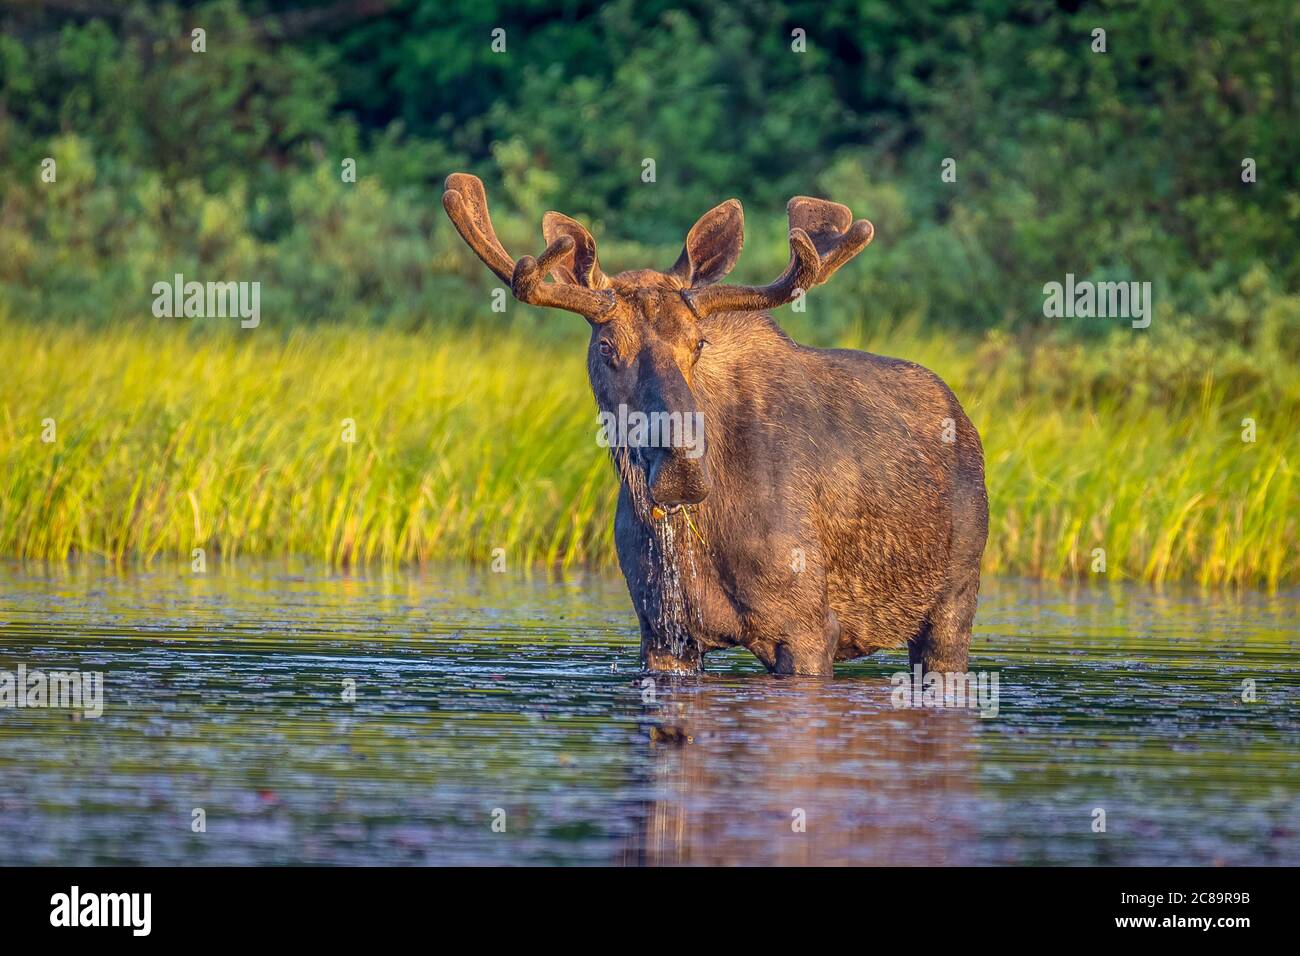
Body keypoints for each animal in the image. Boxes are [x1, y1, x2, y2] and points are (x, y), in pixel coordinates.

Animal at [443, 172, 988, 677]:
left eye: (699, 343)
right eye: (606, 347)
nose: (681, 466)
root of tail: (962, 417)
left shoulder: (810, 629)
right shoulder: (663, 631)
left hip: (955, 601)